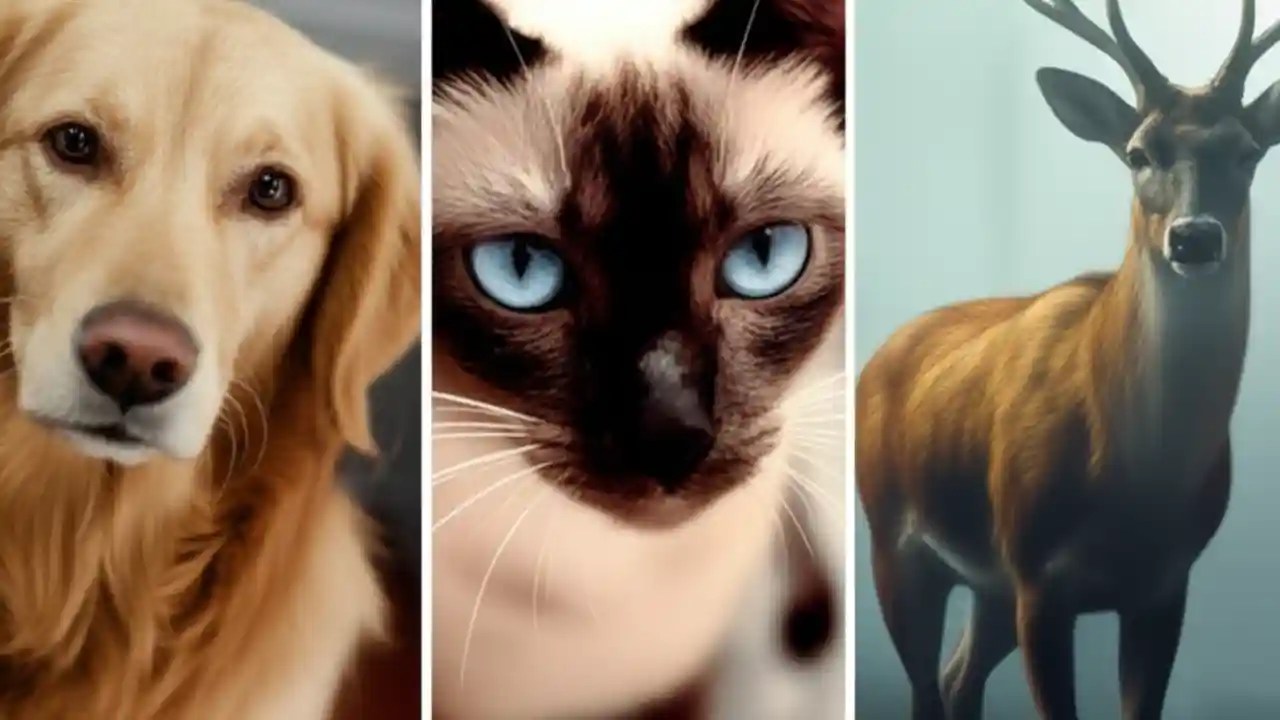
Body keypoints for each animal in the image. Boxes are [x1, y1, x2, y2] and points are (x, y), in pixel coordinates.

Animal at [856, 1, 1280, 719]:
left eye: (1248, 151)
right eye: (1137, 152)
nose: (1194, 237)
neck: (1136, 484)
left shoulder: (1166, 585)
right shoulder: (1038, 576)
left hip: (988, 585)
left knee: (958, 678)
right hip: (894, 539)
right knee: (926, 688)